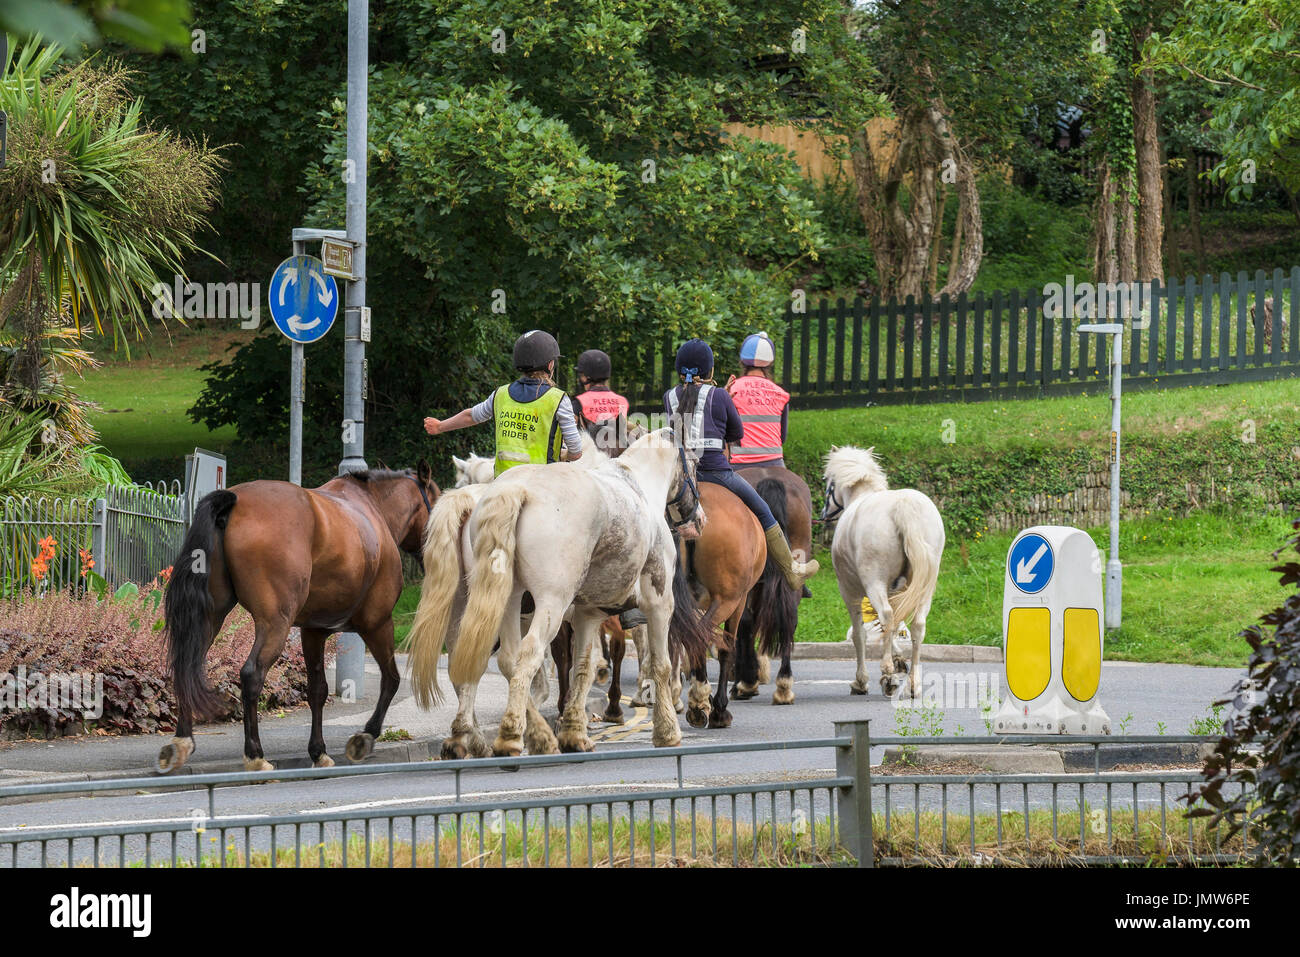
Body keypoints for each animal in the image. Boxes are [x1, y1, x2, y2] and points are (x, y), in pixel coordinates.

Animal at [158, 464, 438, 773]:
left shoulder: (313, 631)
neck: (371, 507)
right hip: (275, 623)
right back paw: (255, 754)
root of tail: (234, 500)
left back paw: (182, 740)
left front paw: (318, 751)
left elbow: (317, 689)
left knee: (187, 664)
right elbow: (391, 679)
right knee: (251, 674)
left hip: (212, 617)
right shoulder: (378, 624)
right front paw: (365, 736)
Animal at [407, 428, 713, 756]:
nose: (699, 520)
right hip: (549, 603)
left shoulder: (588, 613)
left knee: (489, 661)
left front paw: (574, 732)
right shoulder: (659, 604)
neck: (637, 484)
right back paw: (512, 735)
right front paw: (666, 730)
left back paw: (482, 736)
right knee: (526, 655)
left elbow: (582, 668)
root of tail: (516, 489)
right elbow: (659, 664)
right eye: (696, 465)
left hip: (495, 603)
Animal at [821, 446, 945, 698]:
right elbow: (895, 625)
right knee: (917, 625)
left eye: (827, 482)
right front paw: (899, 661)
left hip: (873, 582)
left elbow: (861, 634)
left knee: (887, 615)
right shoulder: (897, 589)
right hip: (924, 588)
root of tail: (904, 505)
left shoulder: (850, 591)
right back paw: (913, 683)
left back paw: (887, 673)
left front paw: (863, 680)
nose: (824, 514)